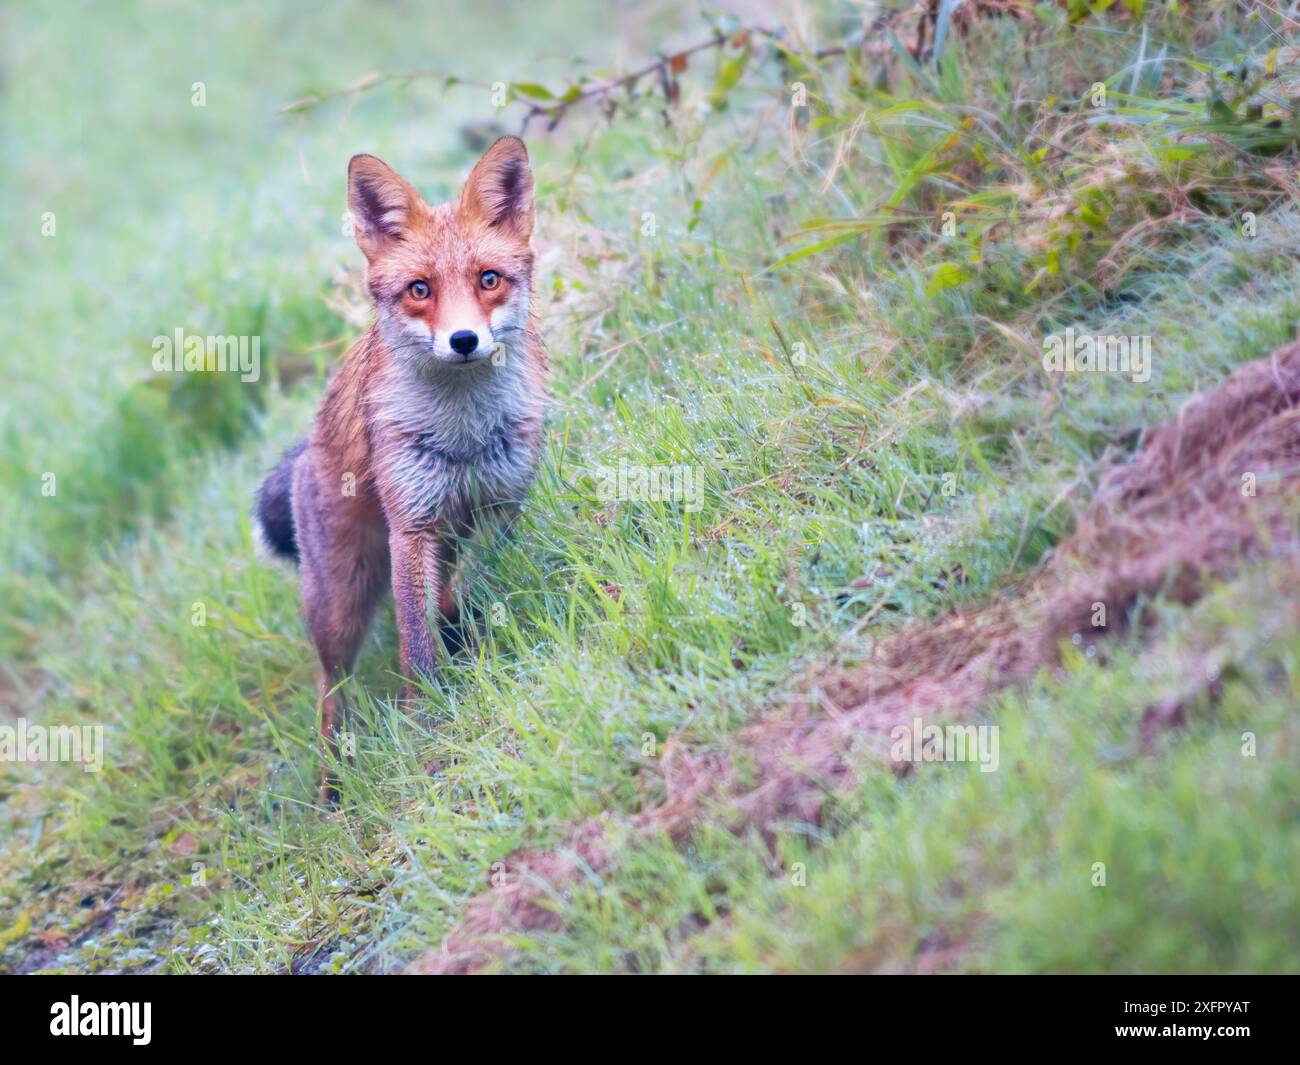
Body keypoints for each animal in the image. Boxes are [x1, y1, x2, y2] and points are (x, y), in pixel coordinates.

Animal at [253, 137, 547, 803]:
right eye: (419, 289)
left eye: (488, 280)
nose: (463, 340)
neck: (464, 436)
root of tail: (306, 447)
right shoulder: (410, 528)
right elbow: (417, 646)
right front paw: (429, 720)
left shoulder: (502, 505)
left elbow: (467, 587)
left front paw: (463, 628)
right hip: (340, 605)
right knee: (330, 692)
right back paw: (333, 787)